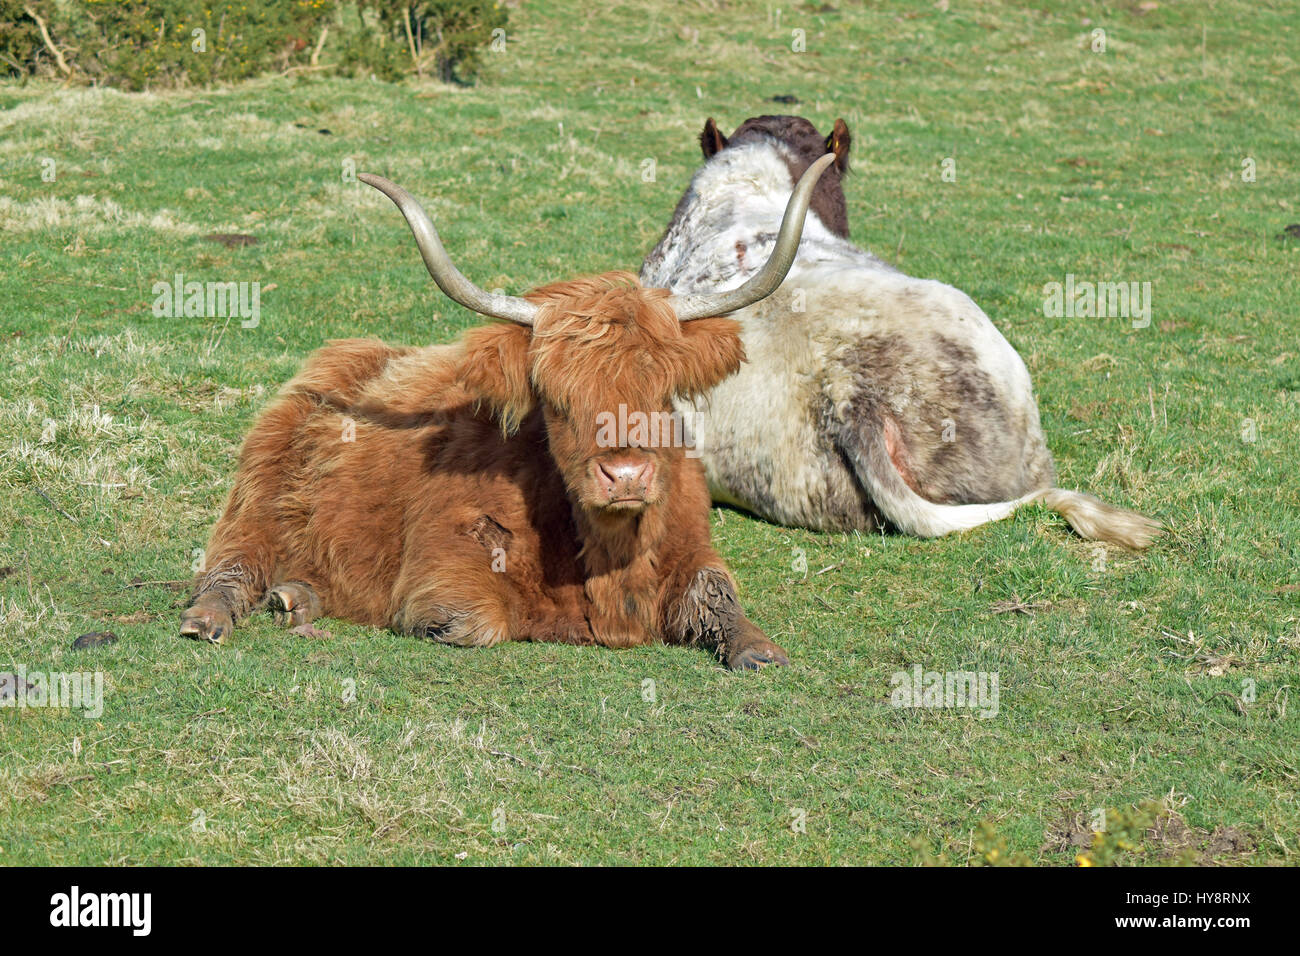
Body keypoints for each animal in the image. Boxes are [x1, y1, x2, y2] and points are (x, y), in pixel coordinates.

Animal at [178, 155, 836, 670]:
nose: (625, 476)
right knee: (231, 563)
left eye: (663, 393)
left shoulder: (694, 548)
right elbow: (475, 622)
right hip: (256, 496)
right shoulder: (440, 572)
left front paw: (760, 650)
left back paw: (296, 597)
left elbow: (721, 598)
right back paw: (214, 616)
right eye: (557, 399)